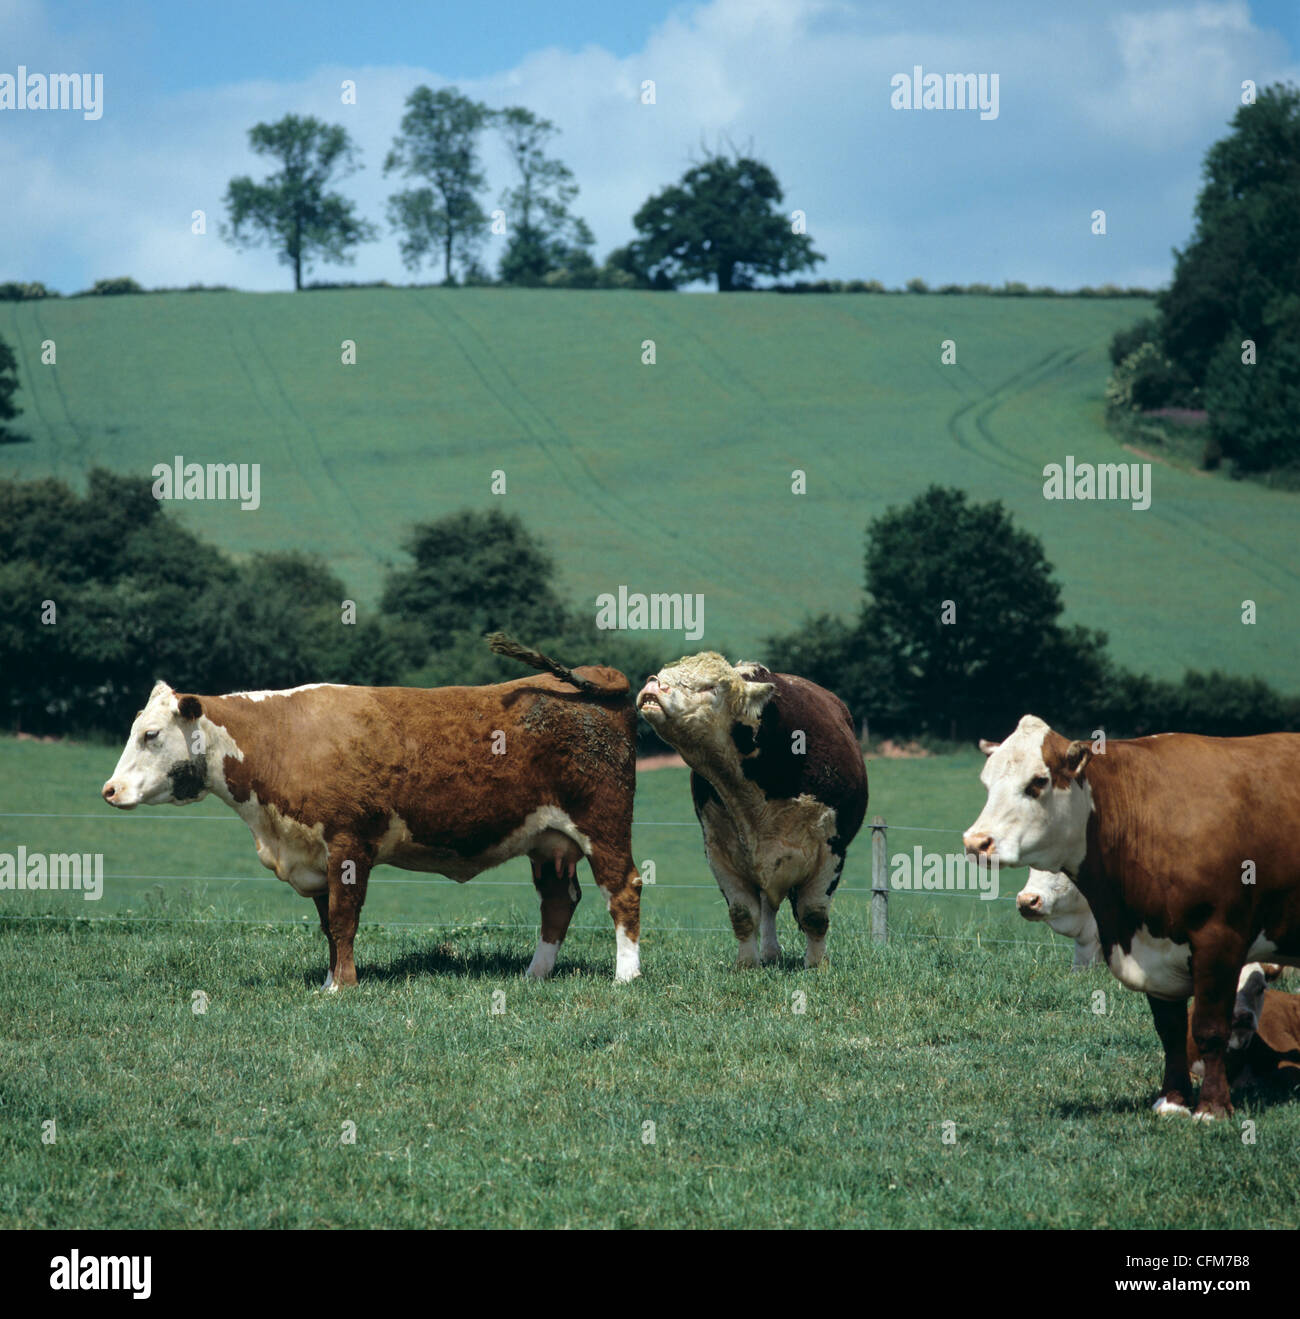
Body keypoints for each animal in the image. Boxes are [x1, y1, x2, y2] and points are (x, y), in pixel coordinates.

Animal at [101, 636, 643, 987]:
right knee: (558, 901)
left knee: (623, 889)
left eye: (151, 734)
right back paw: (534, 975)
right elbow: (328, 925)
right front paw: (327, 981)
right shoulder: (313, 855)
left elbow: (345, 918)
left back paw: (626, 976)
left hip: (604, 823)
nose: (109, 790)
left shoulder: (348, 844)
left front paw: (342, 987)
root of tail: (596, 676)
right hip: (549, 841)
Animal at [636, 653, 867, 969]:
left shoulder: (831, 849)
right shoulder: (719, 851)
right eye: (661, 674)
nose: (653, 684)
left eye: (711, 686)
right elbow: (743, 914)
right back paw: (769, 952)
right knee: (768, 906)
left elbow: (814, 914)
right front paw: (747, 963)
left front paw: (817, 965)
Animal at [963, 714, 1300, 1119]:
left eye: (1038, 782)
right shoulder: (1154, 950)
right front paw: (1172, 1101)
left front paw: (1212, 1108)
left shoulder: (1220, 940)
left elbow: (1209, 1028)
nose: (975, 843)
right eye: (986, 783)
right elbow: (1170, 1031)